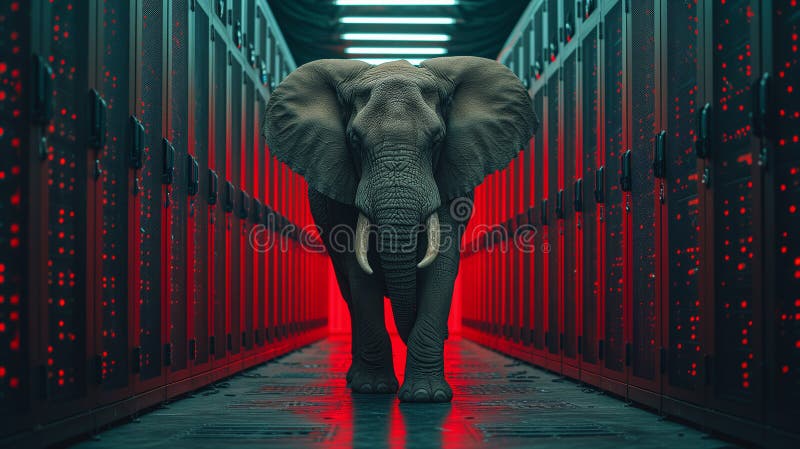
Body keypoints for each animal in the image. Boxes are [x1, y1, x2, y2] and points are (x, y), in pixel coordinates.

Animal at [263, 57, 537, 402]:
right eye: (355, 140)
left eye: (437, 139)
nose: (447, 335)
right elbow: (359, 270)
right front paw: (374, 388)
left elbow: (441, 265)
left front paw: (426, 396)